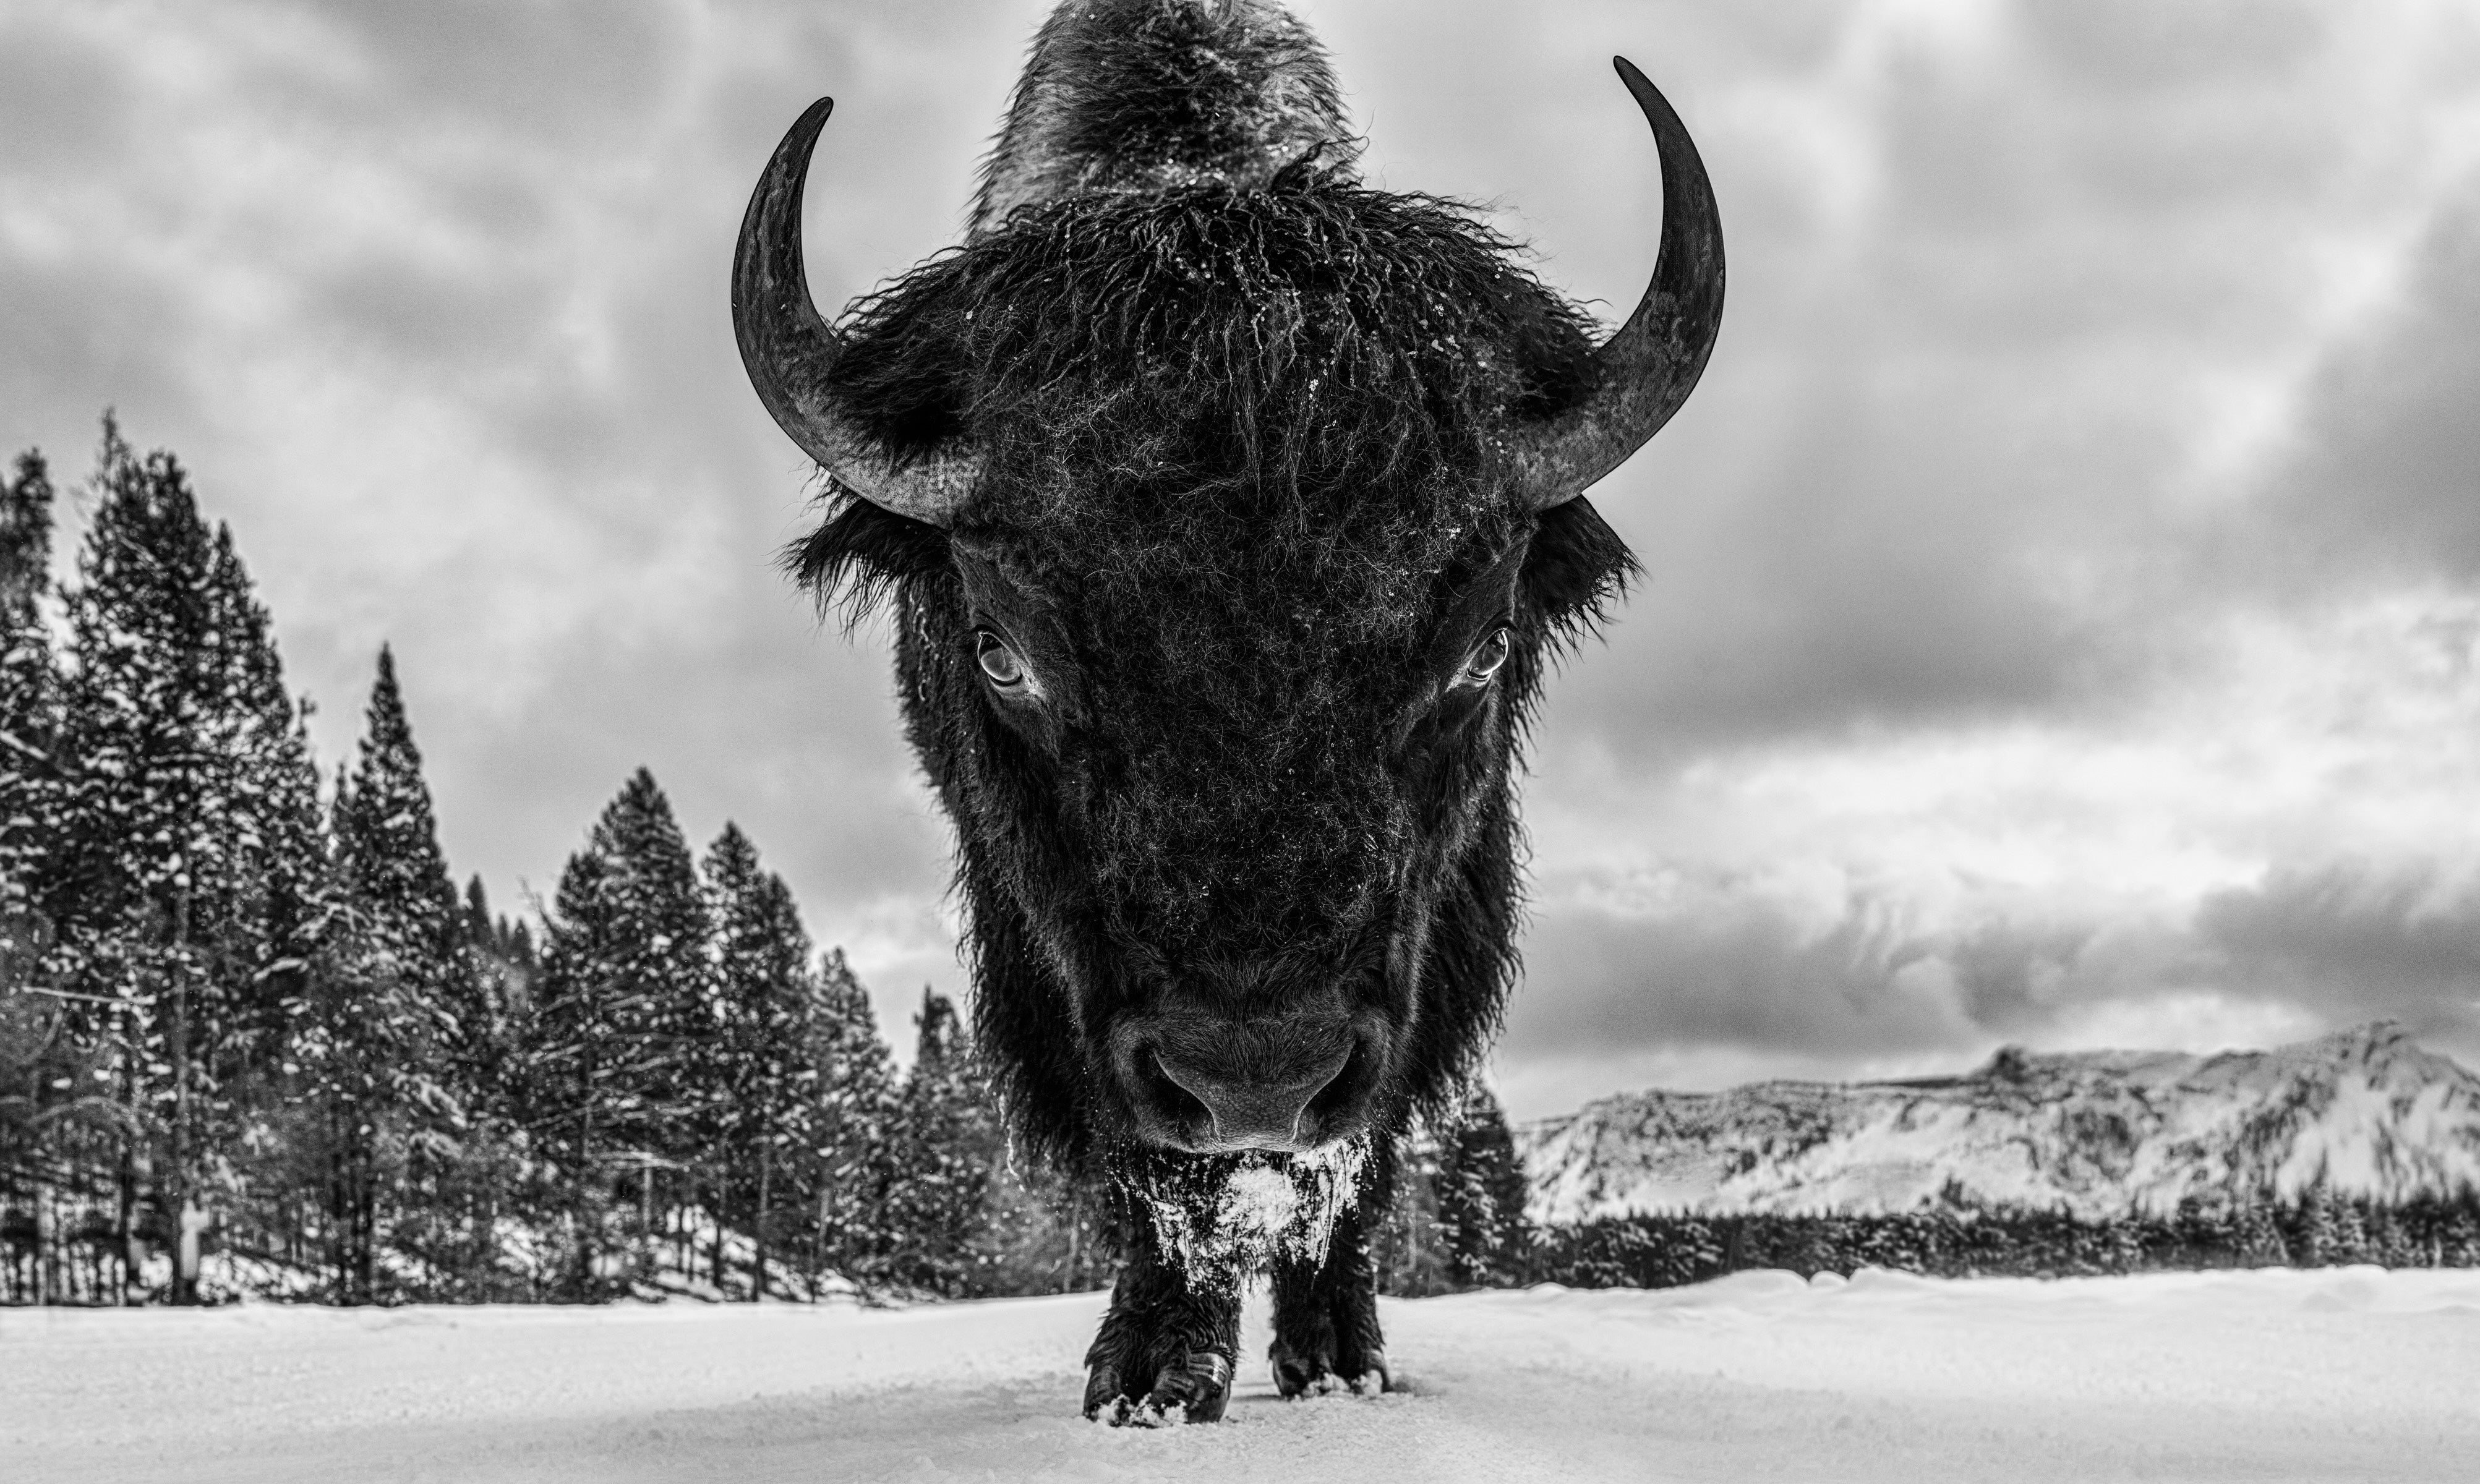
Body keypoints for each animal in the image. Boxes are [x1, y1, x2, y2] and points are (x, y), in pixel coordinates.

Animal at [732, 0, 1721, 1424]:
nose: (1256, 1076)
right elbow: (1149, 1167)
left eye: (1482, 647)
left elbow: (1356, 1158)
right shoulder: (1048, 951)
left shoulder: (1431, 949)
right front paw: (1151, 1373)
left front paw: (1337, 1358)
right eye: (999, 652)